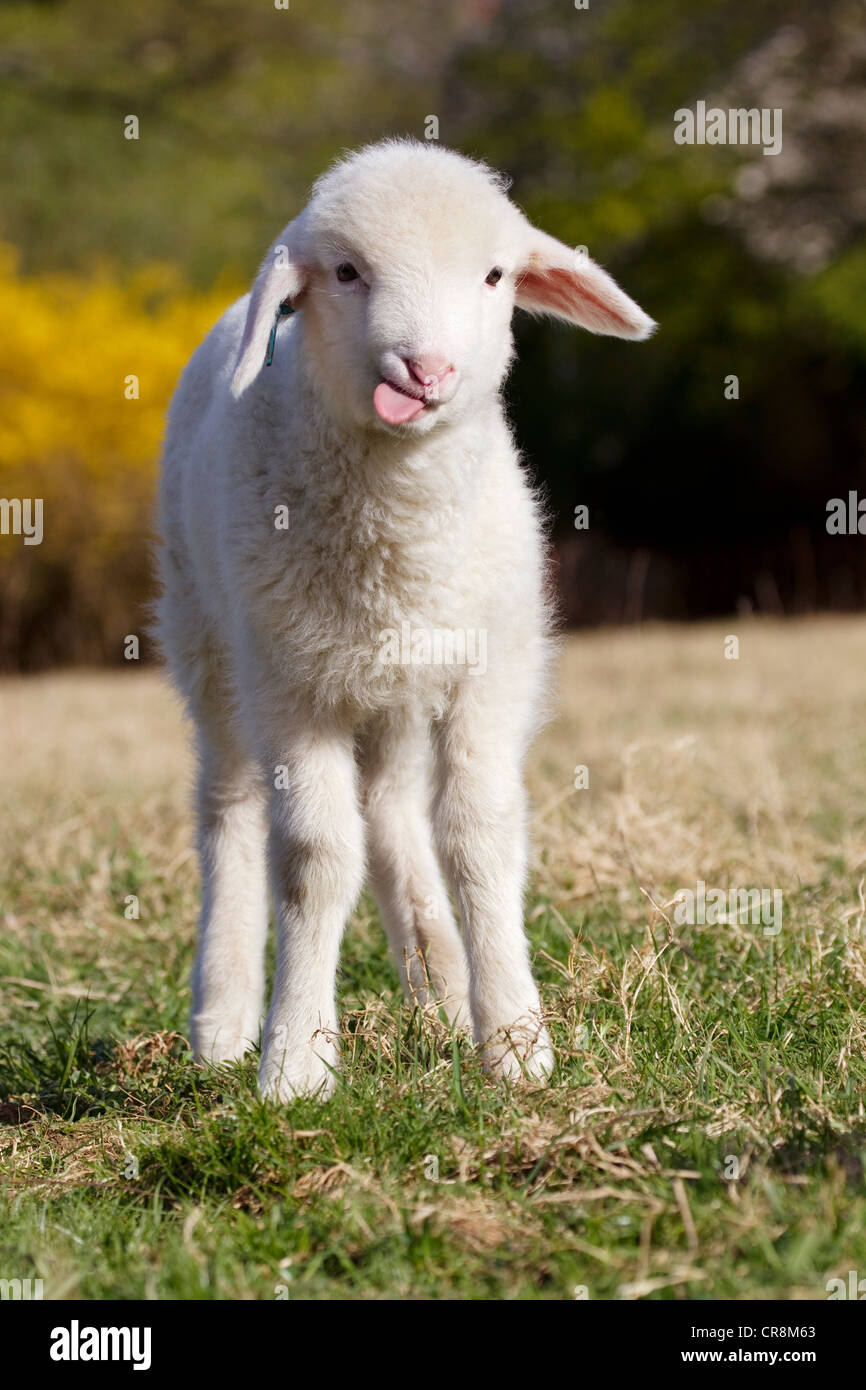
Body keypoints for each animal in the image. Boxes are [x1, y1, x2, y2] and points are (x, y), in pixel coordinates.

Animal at [155, 139, 654, 1102]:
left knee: (391, 817)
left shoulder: (489, 672)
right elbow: (314, 862)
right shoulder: (293, 685)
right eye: (347, 272)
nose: (426, 372)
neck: (400, 528)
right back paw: (224, 1019)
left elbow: (479, 839)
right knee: (229, 809)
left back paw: (443, 988)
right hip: (210, 640)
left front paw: (515, 1041)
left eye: (495, 275)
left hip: (395, 687)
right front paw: (297, 1060)